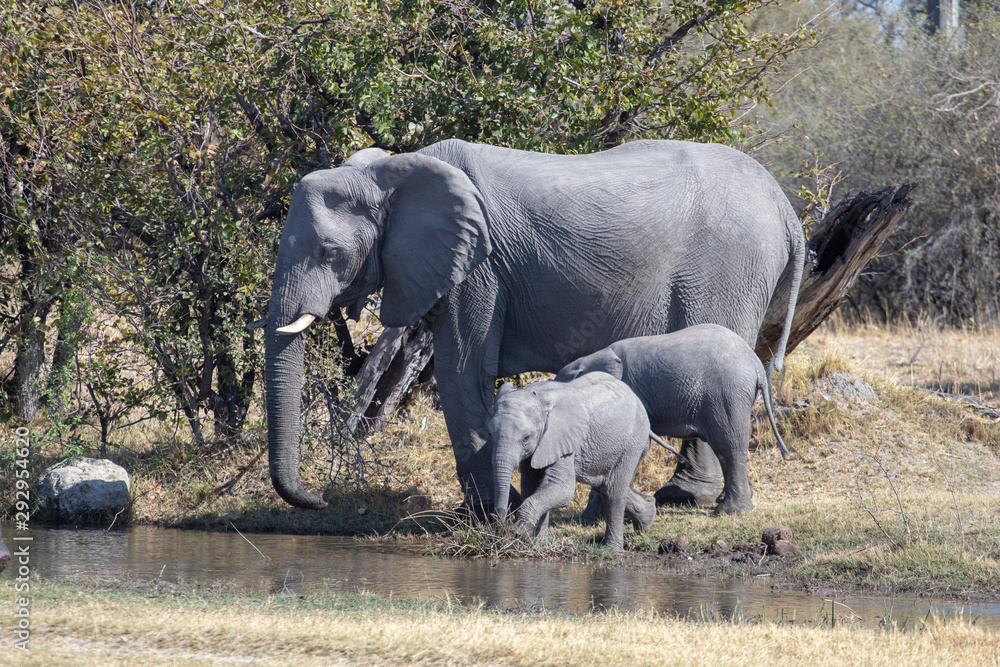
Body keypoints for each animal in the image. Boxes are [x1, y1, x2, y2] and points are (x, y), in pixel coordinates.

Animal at [489, 373, 657, 552]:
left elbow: (562, 487)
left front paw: (520, 530)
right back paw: (647, 519)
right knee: (605, 486)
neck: (539, 398)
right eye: (491, 433)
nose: (500, 526)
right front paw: (539, 544)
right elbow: (532, 486)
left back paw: (612, 550)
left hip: (632, 443)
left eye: (526, 438)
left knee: (614, 490)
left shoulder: (563, 440)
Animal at [556, 324, 790, 515]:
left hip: (727, 392)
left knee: (728, 445)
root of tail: (756, 364)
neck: (595, 356)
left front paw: (590, 519)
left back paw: (730, 512)